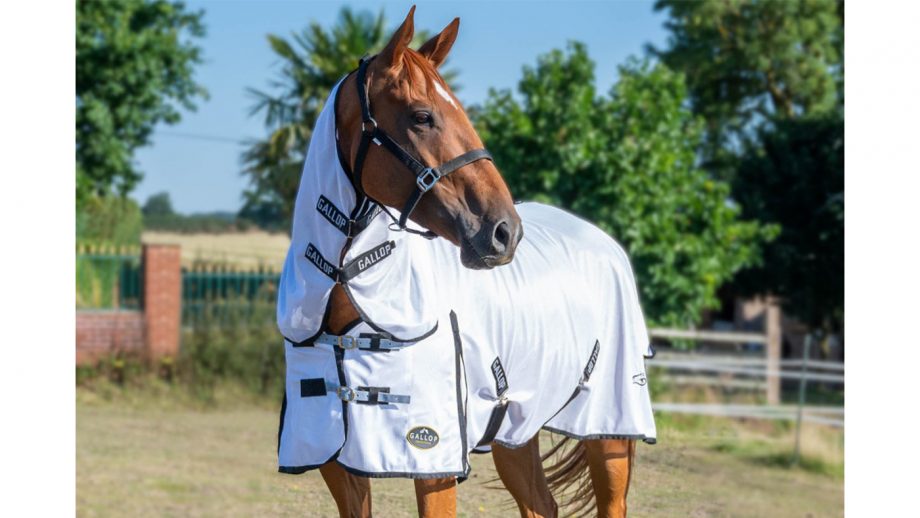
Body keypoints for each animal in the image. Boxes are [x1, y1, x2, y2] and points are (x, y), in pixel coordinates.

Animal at [275, 7, 655, 517]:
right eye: (422, 116)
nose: (505, 231)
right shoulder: (338, 465)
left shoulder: (431, 459)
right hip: (517, 429)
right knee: (541, 506)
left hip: (609, 429)